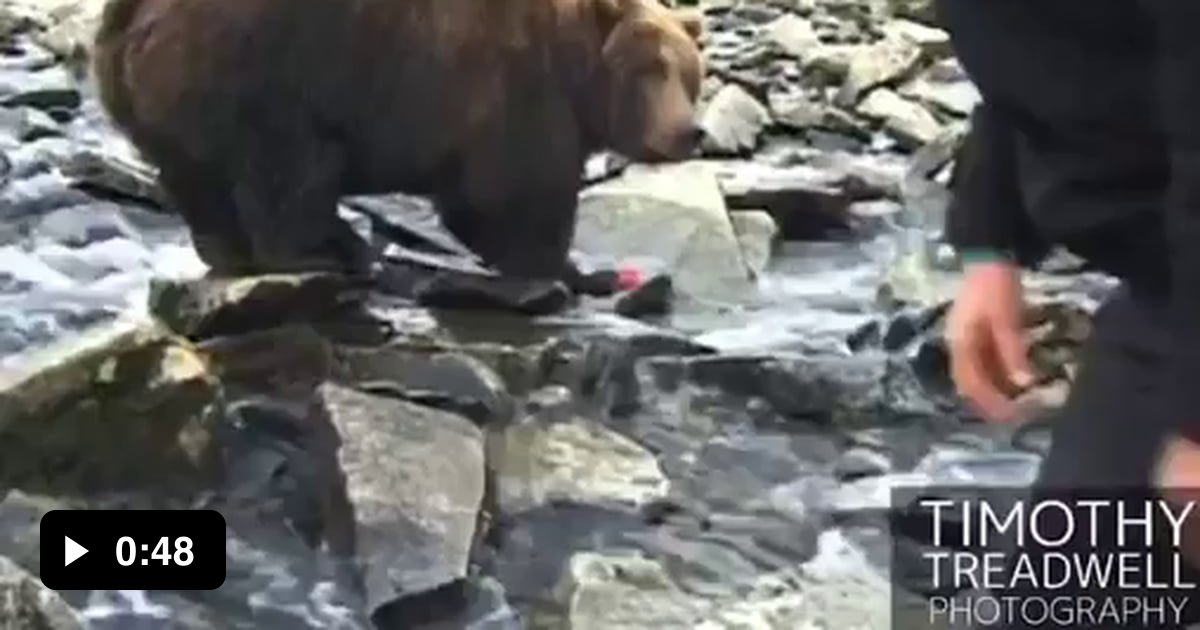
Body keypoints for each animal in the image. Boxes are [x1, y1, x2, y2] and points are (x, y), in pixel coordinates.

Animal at [91, 0, 706, 283]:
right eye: (651, 69)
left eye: (689, 73)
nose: (689, 132)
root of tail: (131, 16)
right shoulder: (515, 85)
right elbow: (515, 191)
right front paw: (566, 268)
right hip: (271, 68)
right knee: (292, 167)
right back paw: (325, 252)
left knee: (199, 177)